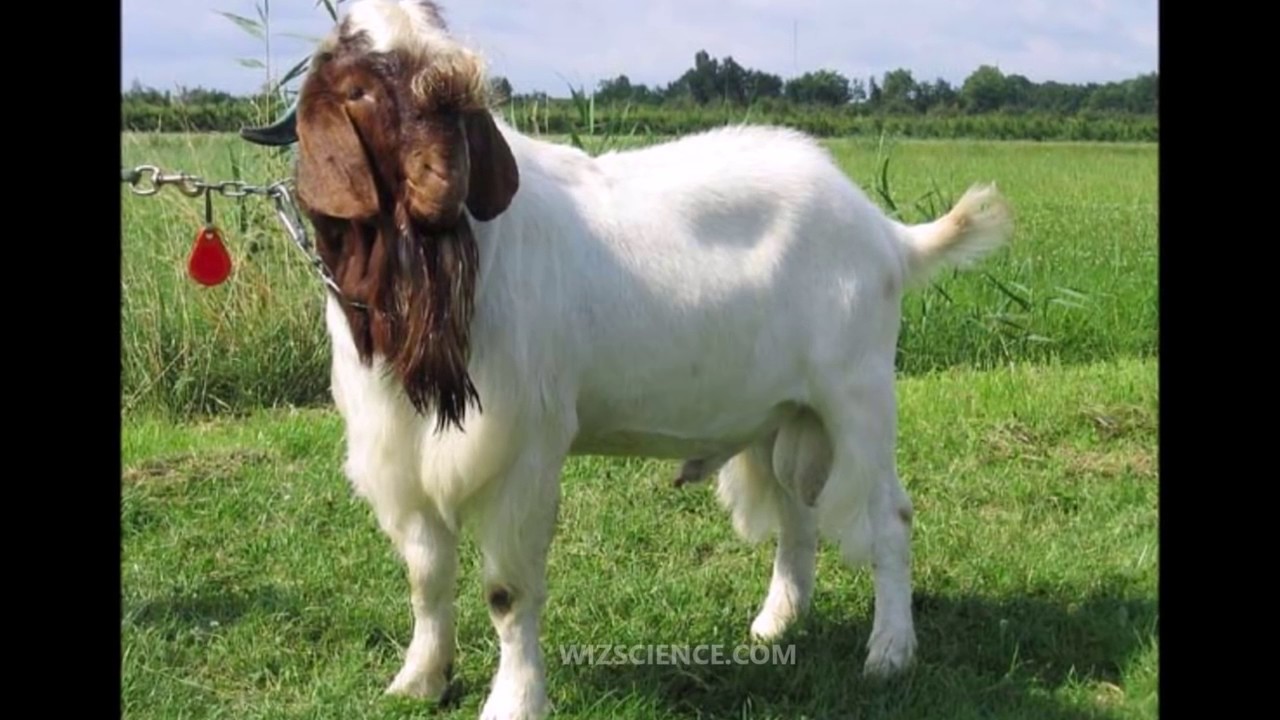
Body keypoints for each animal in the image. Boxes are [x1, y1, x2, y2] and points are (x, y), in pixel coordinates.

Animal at [240, 2, 1013, 717]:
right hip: (782, 414)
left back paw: (889, 654)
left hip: (858, 397)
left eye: (464, 94)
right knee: (797, 512)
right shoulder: (401, 449)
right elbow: (425, 575)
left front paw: (514, 700)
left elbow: (506, 591)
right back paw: (776, 625)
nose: (445, 183)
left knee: (890, 515)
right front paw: (419, 680)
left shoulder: (522, 448)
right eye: (361, 87)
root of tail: (887, 234)